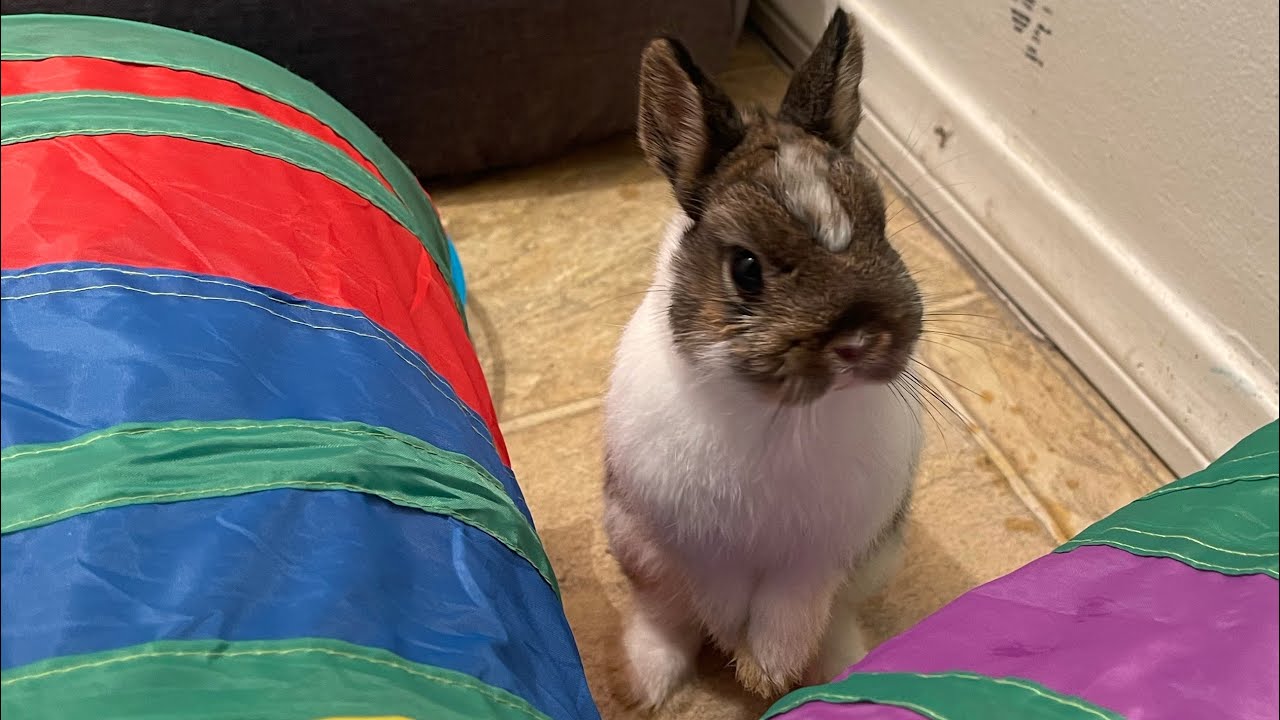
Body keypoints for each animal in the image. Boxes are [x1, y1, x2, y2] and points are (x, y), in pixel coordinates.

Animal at [601, 9, 924, 710]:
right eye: (745, 268)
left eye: (883, 230)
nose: (860, 340)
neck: (778, 414)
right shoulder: (700, 548)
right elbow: (720, 607)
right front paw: (745, 666)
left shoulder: (818, 558)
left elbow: (790, 616)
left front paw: (765, 674)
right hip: (636, 546)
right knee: (666, 615)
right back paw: (645, 685)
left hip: (877, 560)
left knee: (834, 620)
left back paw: (847, 671)